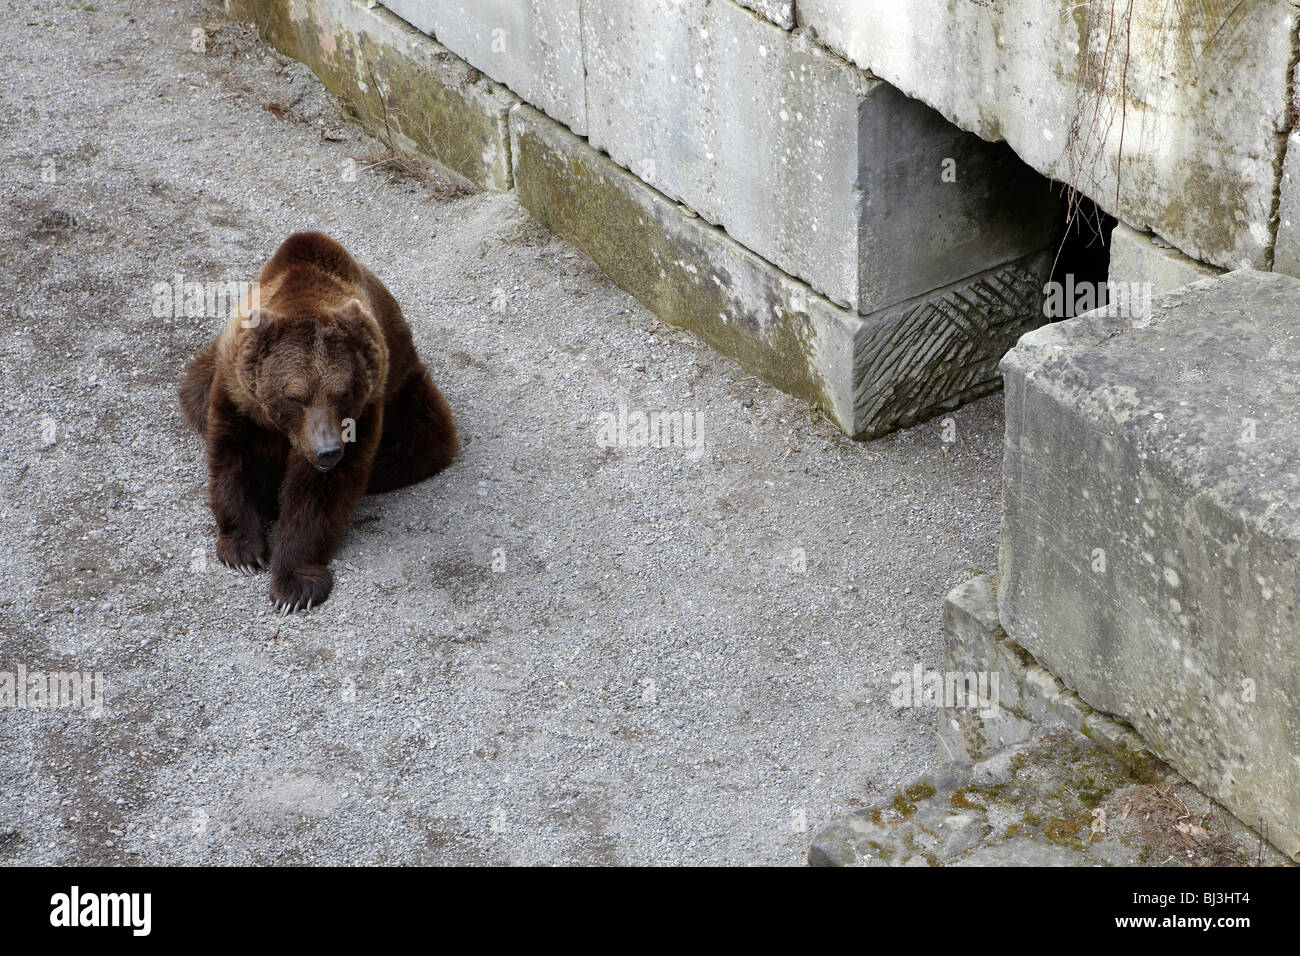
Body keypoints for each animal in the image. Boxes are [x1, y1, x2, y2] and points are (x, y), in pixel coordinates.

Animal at [179, 232, 458, 613]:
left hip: (407, 395)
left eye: (341, 392)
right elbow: (232, 460)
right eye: (296, 396)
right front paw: (242, 550)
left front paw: (294, 586)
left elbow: (317, 496)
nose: (327, 451)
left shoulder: (366, 408)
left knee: (418, 442)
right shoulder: (237, 392)